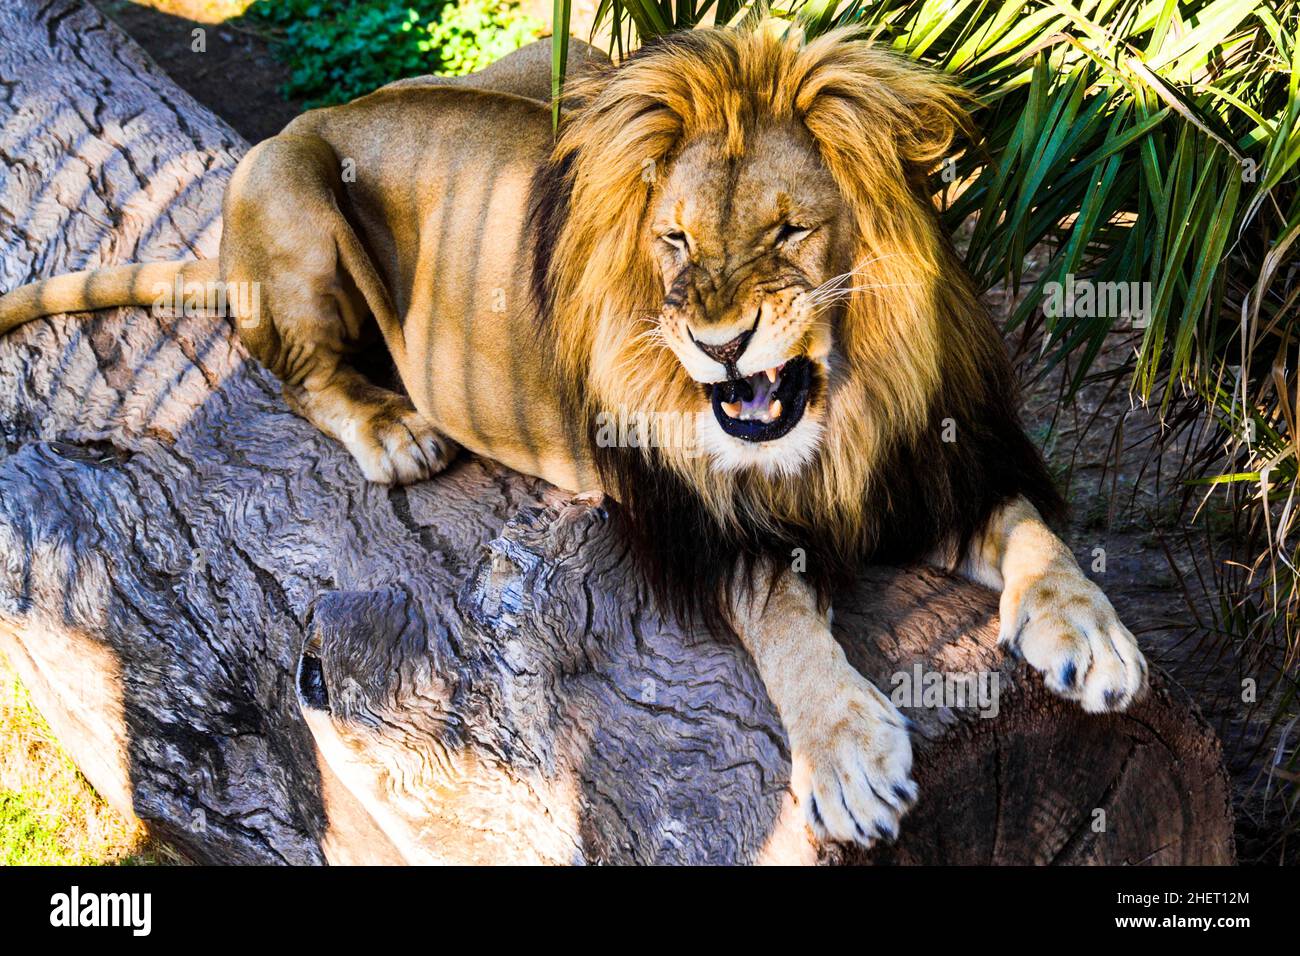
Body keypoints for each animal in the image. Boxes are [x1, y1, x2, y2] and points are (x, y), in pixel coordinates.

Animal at [0, 23, 1147, 850]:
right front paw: (849, 752)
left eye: (789, 231)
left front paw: (1089, 633)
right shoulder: (699, 521)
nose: (718, 344)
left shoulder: (940, 462)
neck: (838, 407)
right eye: (673, 240)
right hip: (287, 183)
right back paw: (393, 430)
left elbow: (1033, 532)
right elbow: (782, 619)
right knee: (291, 372)